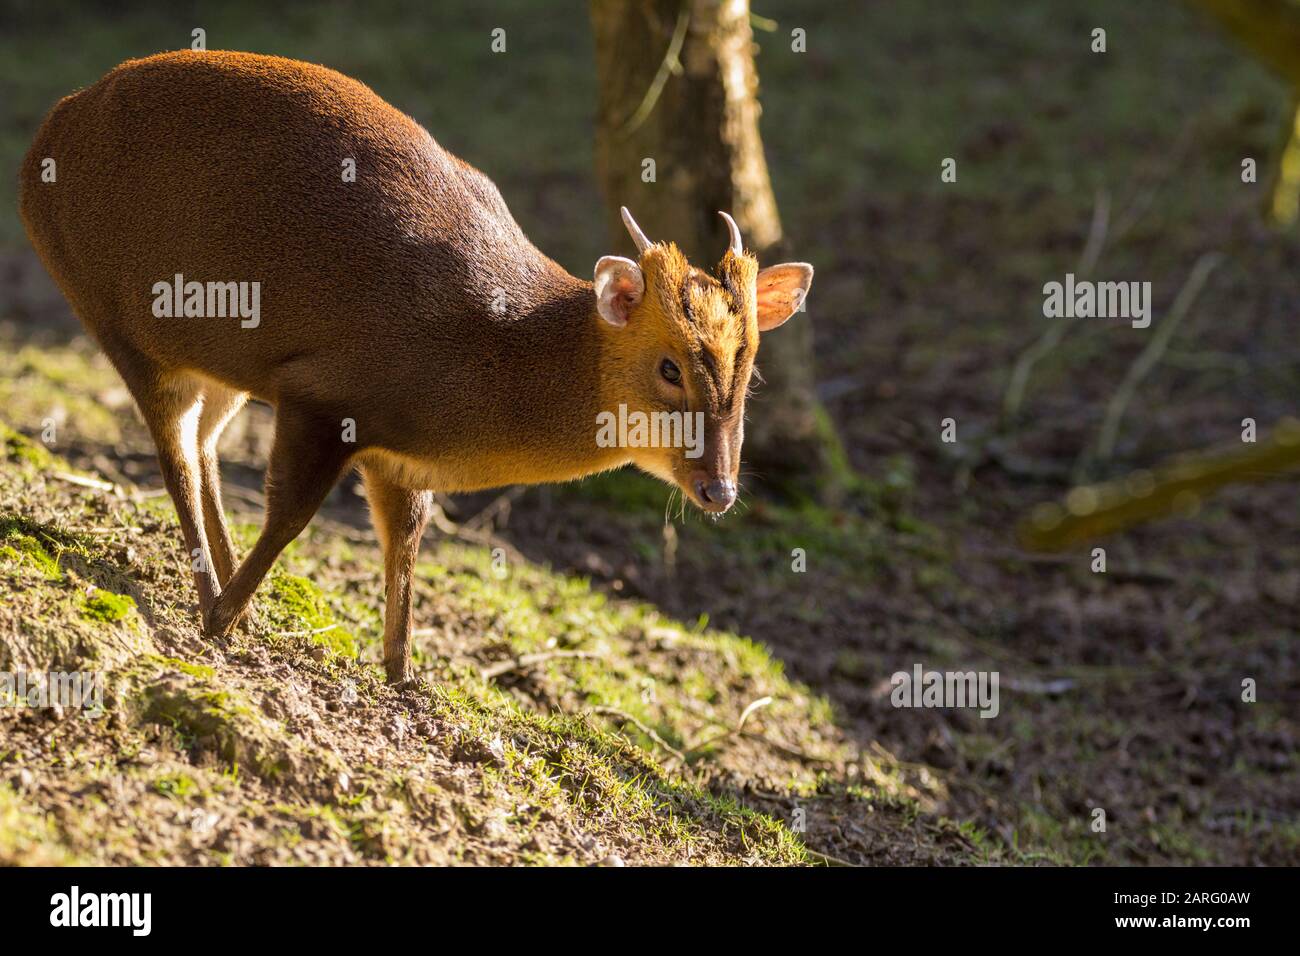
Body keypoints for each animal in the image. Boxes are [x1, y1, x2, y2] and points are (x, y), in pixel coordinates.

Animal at [19, 50, 814, 685]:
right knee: (176, 454)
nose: (719, 489)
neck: (488, 350)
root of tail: (46, 135)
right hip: (118, 318)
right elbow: (291, 514)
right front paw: (222, 622)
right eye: (670, 368)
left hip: (221, 368)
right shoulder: (324, 393)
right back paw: (216, 599)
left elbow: (406, 542)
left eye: (750, 372)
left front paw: (401, 670)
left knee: (205, 444)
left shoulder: (396, 456)